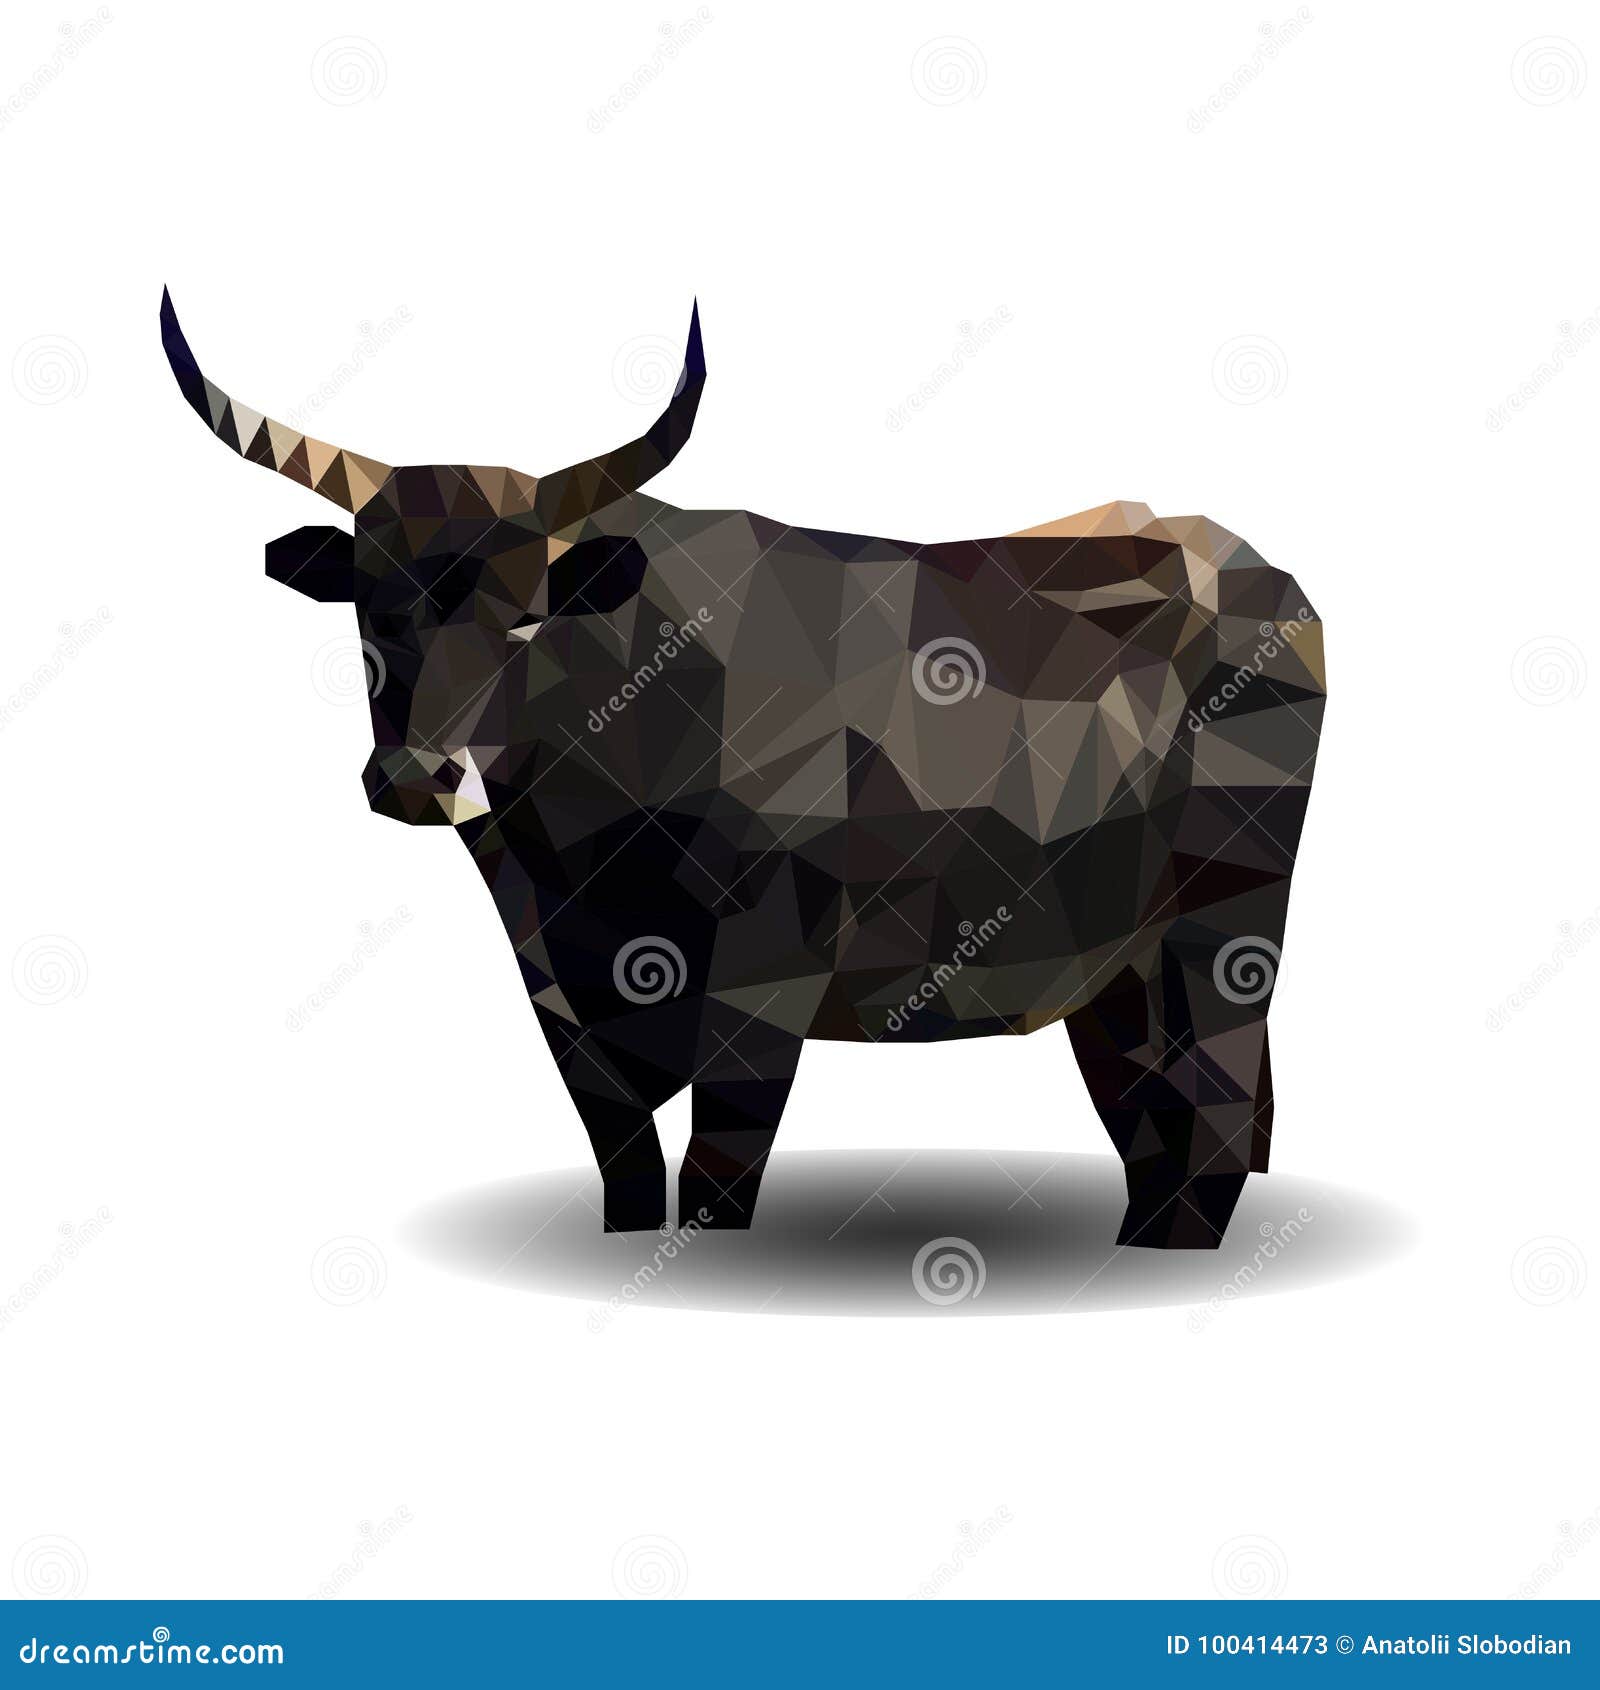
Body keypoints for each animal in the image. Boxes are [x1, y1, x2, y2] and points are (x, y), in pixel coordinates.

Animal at [162, 289, 1324, 1248]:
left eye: (529, 614)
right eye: (370, 608)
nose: (418, 775)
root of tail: (1238, 560)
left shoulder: (765, 985)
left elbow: (723, 1165)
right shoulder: (557, 992)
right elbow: (625, 1160)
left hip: (1227, 921)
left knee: (1218, 1094)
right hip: (1115, 954)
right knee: (1146, 1101)